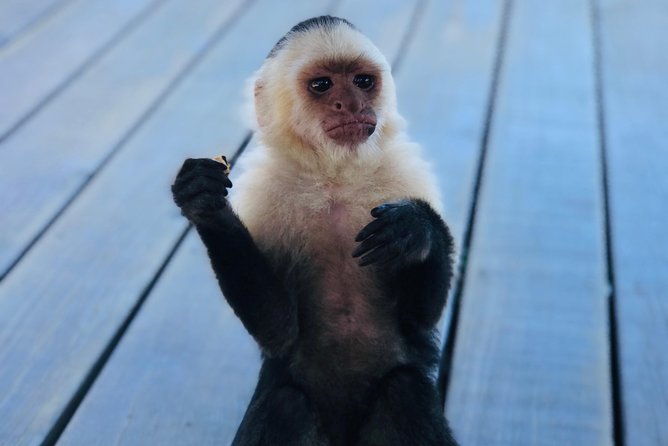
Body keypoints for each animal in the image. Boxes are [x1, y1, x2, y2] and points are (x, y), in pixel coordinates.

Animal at [172, 16, 458, 446]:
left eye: (362, 81)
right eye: (322, 85)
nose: (352, 105)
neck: (334, 176)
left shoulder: (406, 174)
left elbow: (418, 321)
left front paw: (417, 229)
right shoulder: (266, 191)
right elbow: (278, 329)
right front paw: (208, 207)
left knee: (404, 391)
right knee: (285, 403)